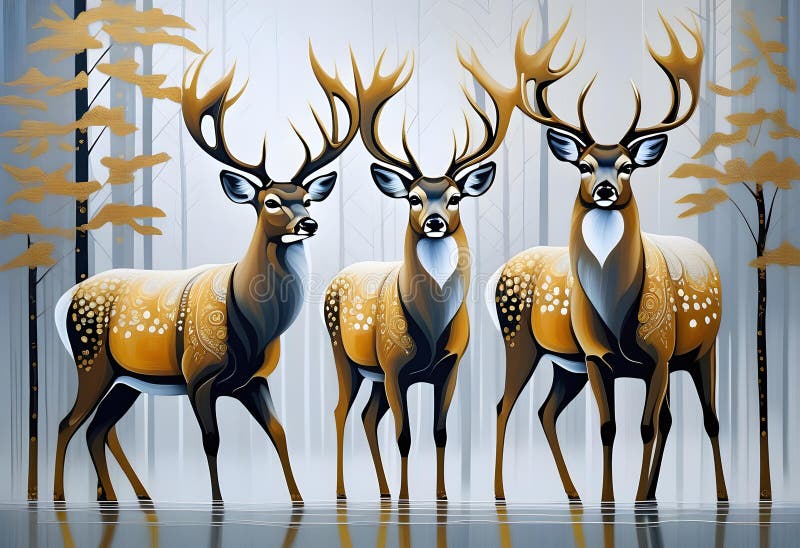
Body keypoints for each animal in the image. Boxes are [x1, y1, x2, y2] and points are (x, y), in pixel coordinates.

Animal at [52, 46, 359, 503]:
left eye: (306, 198)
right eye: (269, 201)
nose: (309, 224)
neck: (250, 325)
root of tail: (65, 301)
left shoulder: (254, 380)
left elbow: (279, 433)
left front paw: (299, 499)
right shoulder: (198, 373)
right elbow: (211, 441)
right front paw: (218, 502)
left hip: (126, 380)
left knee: (97, 429)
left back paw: (132, 498)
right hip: (91, 359)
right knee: (68, 423)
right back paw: (58, 497)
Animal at [324, 49, 514, 501]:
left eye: (456, 196)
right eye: (413, 198)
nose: (434, 222)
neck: (430, 328)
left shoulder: (451, 366)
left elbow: (440, 433)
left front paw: (441, 496)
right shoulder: (395, 366)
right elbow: (405, 435)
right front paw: (409, 499)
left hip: (373, 373)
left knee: (367, 416)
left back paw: (382, 491)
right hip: (344, 353)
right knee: (342, 411)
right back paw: (343, 492)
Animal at [487, 14, 728, 503]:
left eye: (627, 166)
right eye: (582, 164)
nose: (604, 190)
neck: (617, 314)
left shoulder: (659, 353)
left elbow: (647, 426)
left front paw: (636, 500)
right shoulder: (596, 357)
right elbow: (608, 428)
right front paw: (610, 500)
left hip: (700, 350)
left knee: (705, 419)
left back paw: (710, 496)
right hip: (523, 342)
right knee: (513, 406)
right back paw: (512, 493)